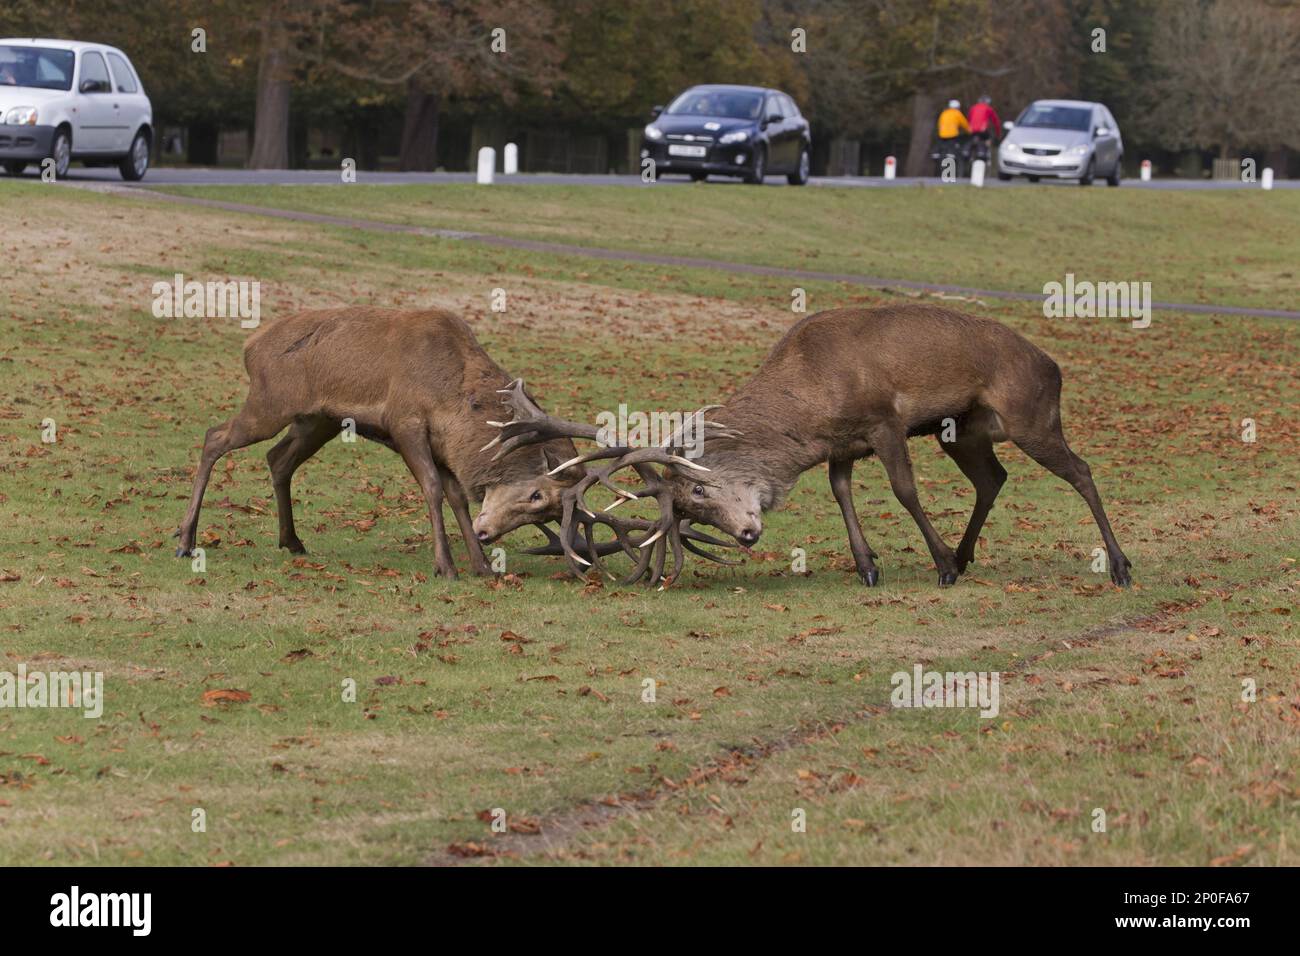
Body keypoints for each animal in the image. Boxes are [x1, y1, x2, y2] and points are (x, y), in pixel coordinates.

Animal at [174, 307, 596, 579]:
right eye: (538, 496)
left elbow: (456, 495)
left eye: (548, 514)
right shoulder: (405, 420)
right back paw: (185, 540)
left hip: (317, 421)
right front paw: (446, 566)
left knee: (277, 457)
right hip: (269, 403)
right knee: (214, 437)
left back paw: (292, 541)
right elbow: (432, 488)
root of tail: (250, 345)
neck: (454, 401)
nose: (487, 534)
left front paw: (481, 566)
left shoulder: (443, 447)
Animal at [483, 304, 1132, 589]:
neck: (812, 403)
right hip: (966, 430)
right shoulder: (842, 444)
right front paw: (869, 566)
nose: (748, 534)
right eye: (695, 512)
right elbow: (841, 492)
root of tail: (1053, 365)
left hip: (1029, 414)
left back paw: (1120, 566)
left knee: (1081, 469)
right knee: (993, 479)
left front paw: (940, 566)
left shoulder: (885, 421)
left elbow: (904, 490)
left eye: (697, 492)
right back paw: (970, 554)